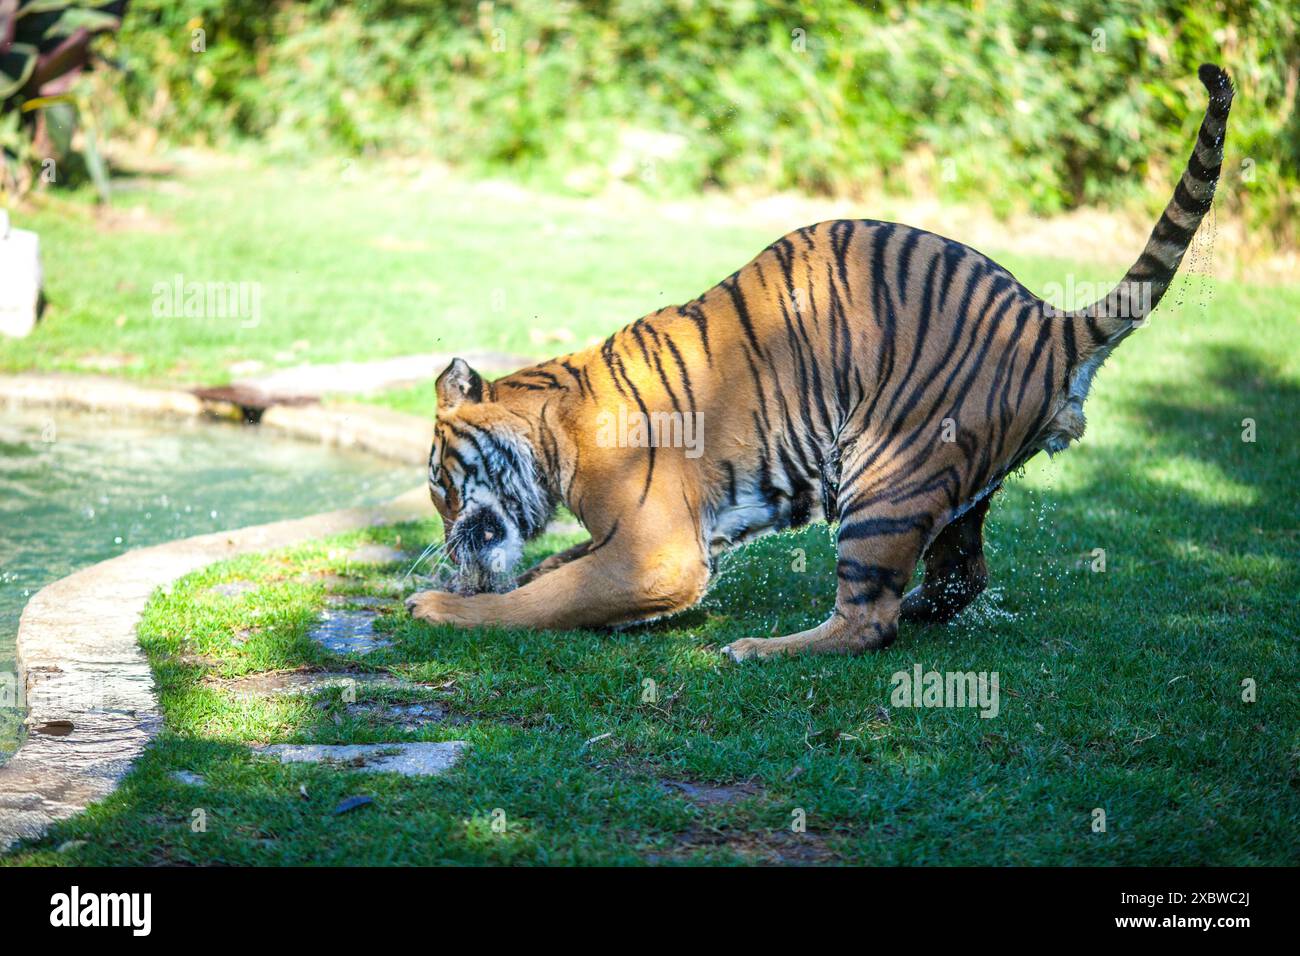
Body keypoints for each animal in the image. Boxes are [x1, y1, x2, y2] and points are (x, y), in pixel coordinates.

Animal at [407, 65, 1233, 661]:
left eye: (440, 486)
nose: (444, 547)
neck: (549, 427)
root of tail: (1047, 319)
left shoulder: (657, 554)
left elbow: (544, 597)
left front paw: (439, 605)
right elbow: (556, 569)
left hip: (883, 472)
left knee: (871, 621)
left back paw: (757, 649)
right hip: (954, 492)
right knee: (959, 577)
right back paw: (915, 608)